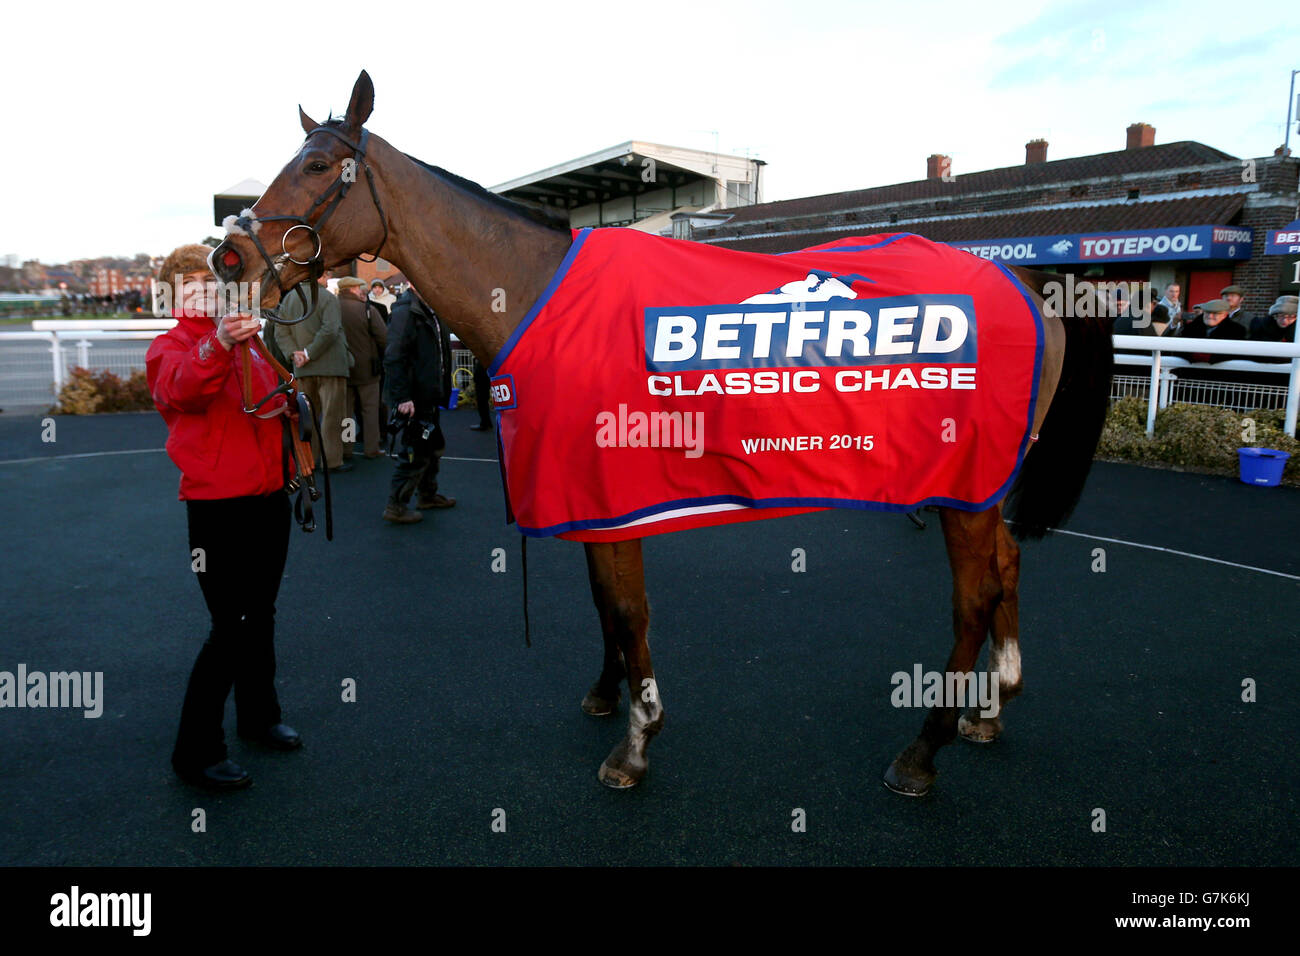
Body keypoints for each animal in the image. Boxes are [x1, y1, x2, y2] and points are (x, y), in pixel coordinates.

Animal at [210, 71, 1114, 797]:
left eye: (318, 167)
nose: (230, 256)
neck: (547, 300)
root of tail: (1031, 280)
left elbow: (629, 607)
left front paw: (637, 741)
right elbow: (603, 603)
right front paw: (608, 692)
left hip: (964, 484)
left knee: (974, 598)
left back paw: (923, 750)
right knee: (1007, 566)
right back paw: (990, 705)